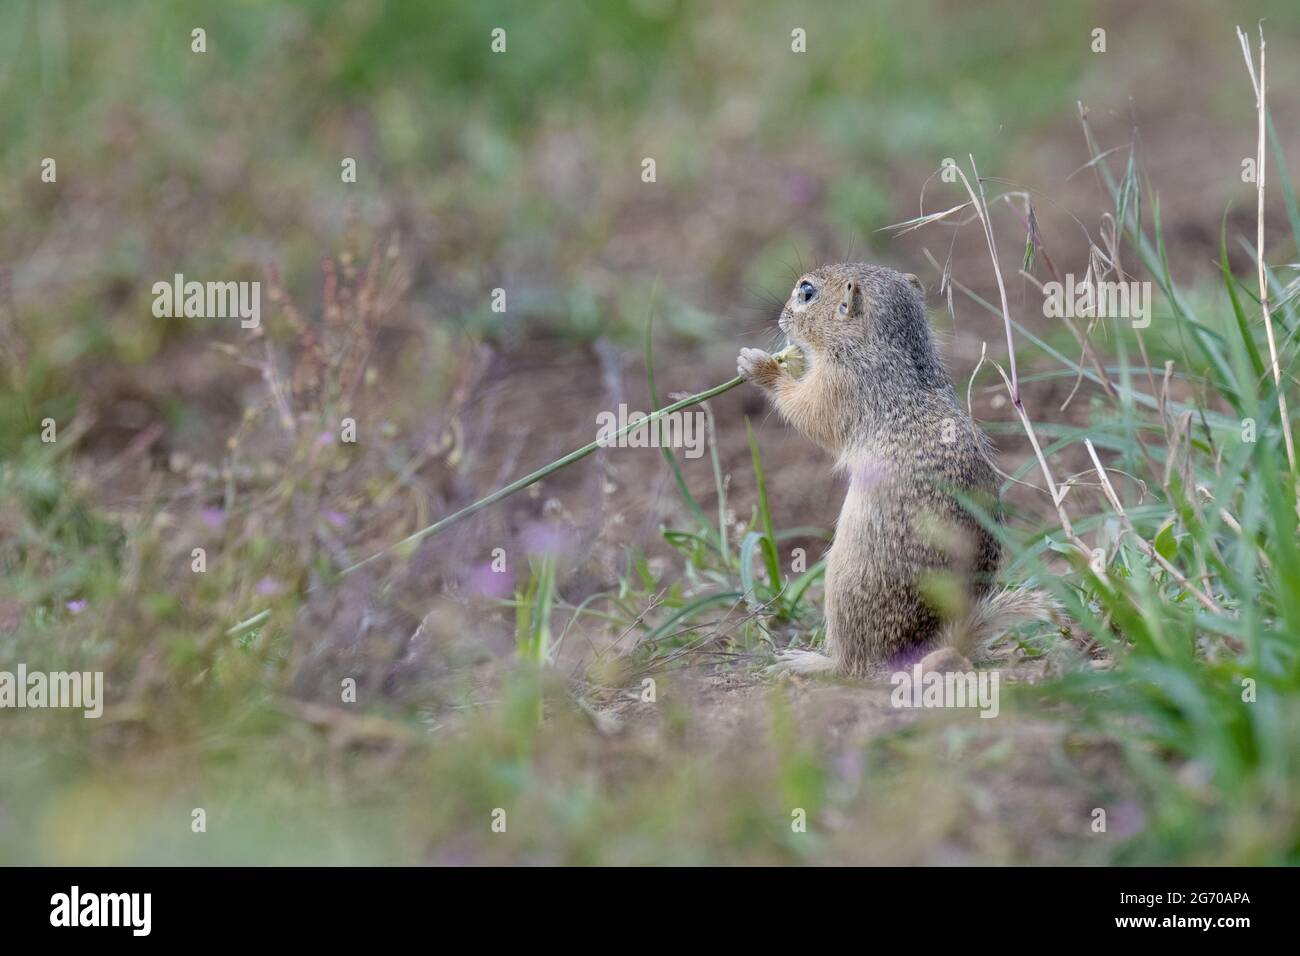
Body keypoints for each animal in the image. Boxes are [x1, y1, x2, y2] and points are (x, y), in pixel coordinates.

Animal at [737, 262, 1050, 677]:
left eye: (806, 292)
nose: (781, 318)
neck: (895, 350)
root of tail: (924, 648)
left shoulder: (841, 385)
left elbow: (808, 412)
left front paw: (762, 366)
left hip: (843, 585)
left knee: (851, 664)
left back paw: (809, 661)